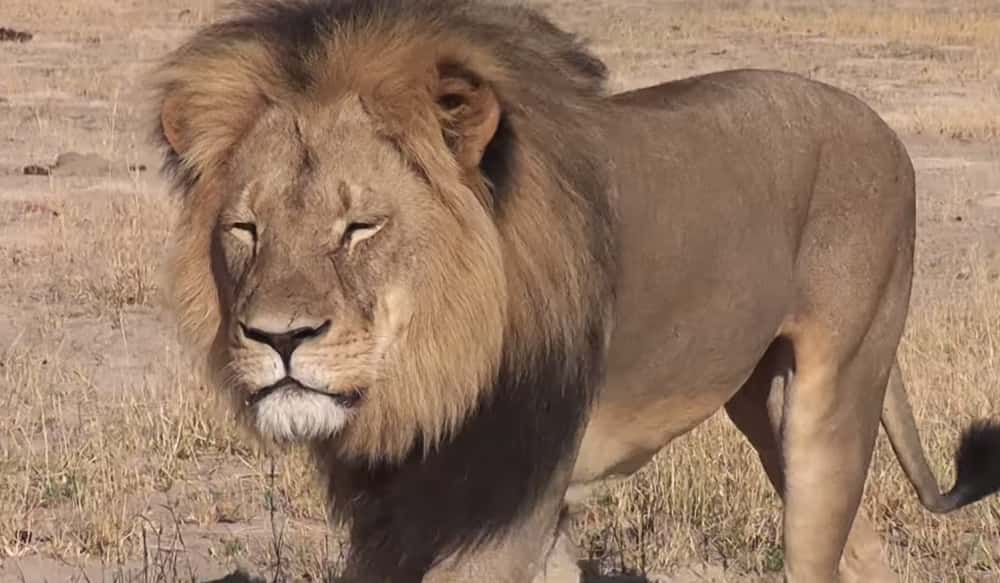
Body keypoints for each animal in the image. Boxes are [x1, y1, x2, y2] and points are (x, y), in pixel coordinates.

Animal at [150, 1, 1000, 582]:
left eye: (359, 227)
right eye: (245, 229)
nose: (278, 337)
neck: (426, 378)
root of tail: (880, 125)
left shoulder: (503, 516)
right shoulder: (408, 516)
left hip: (836, 394)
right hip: (768, 405)